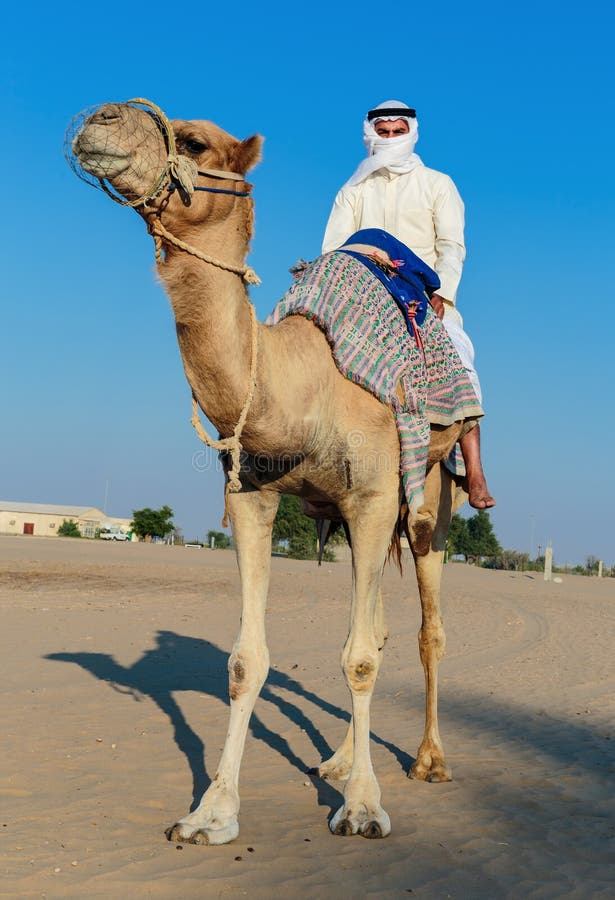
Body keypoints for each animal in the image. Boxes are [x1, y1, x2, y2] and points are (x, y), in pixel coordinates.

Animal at [68, 99, 471, 844]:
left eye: (196, 141)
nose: (98, 118)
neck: (300, 381)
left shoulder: (376, 495)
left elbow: (361, 658)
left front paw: (363, 809)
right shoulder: (255, 498)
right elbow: (246, 660)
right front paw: (211, 813)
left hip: (429, 501)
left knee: (426, 628)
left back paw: (427, 761)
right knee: (373, 626)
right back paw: (337, 760)